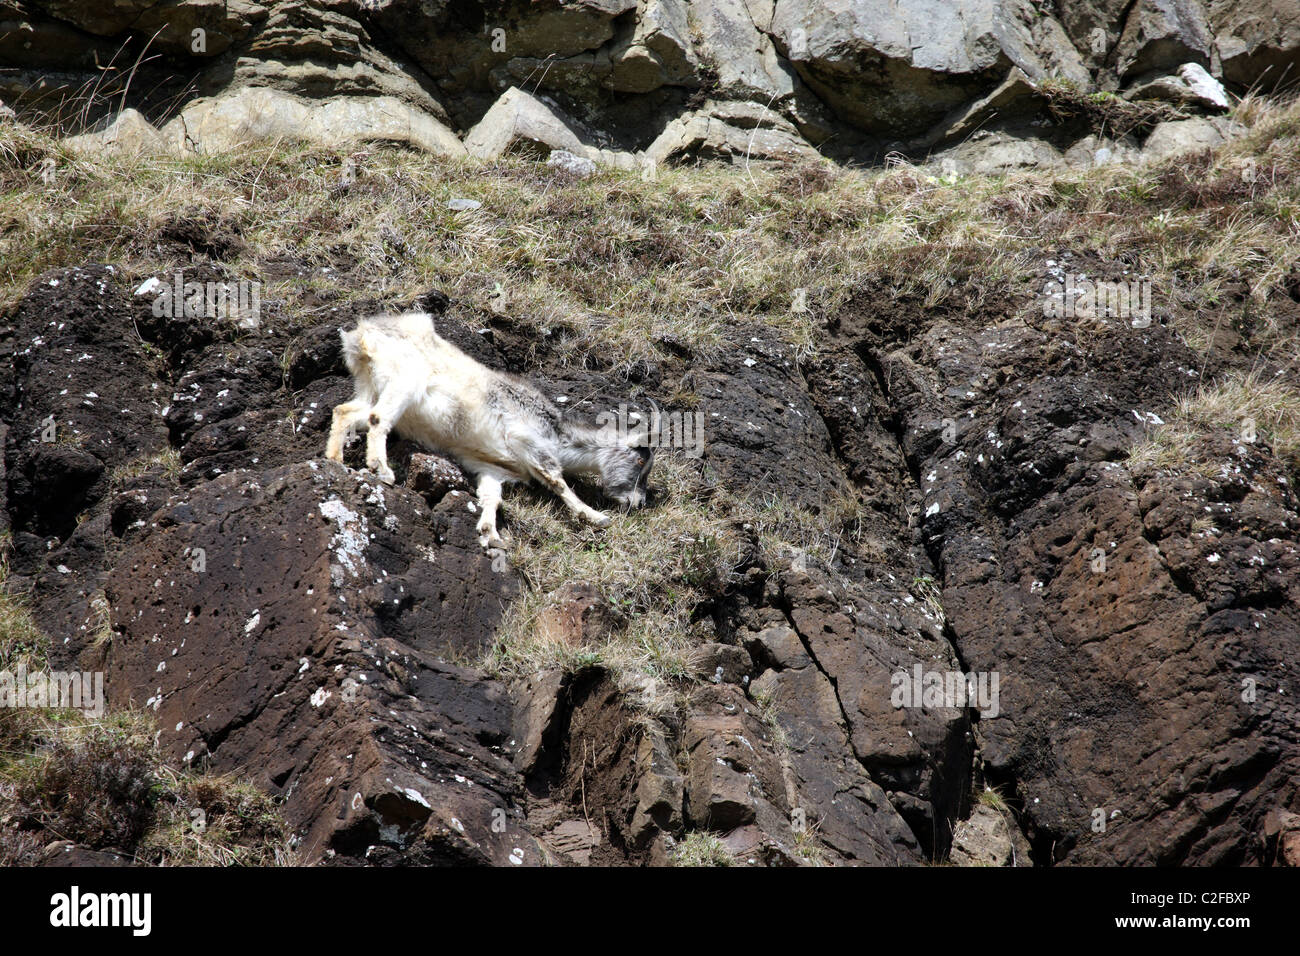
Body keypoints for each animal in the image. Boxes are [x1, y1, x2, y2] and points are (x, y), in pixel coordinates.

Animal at [324, 311, 654, 548]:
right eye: (640, 459)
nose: (638, 503)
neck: (558, 436)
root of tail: (362, 336)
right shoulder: (529, 442)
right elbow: (557, 482)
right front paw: (596, 517)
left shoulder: (491, 466)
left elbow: (492, 496)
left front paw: (489, 534)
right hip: (405, 381)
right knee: (378, 418)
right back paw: (382, 469)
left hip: (369, 387)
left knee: (345, 411)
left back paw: (336, 460)